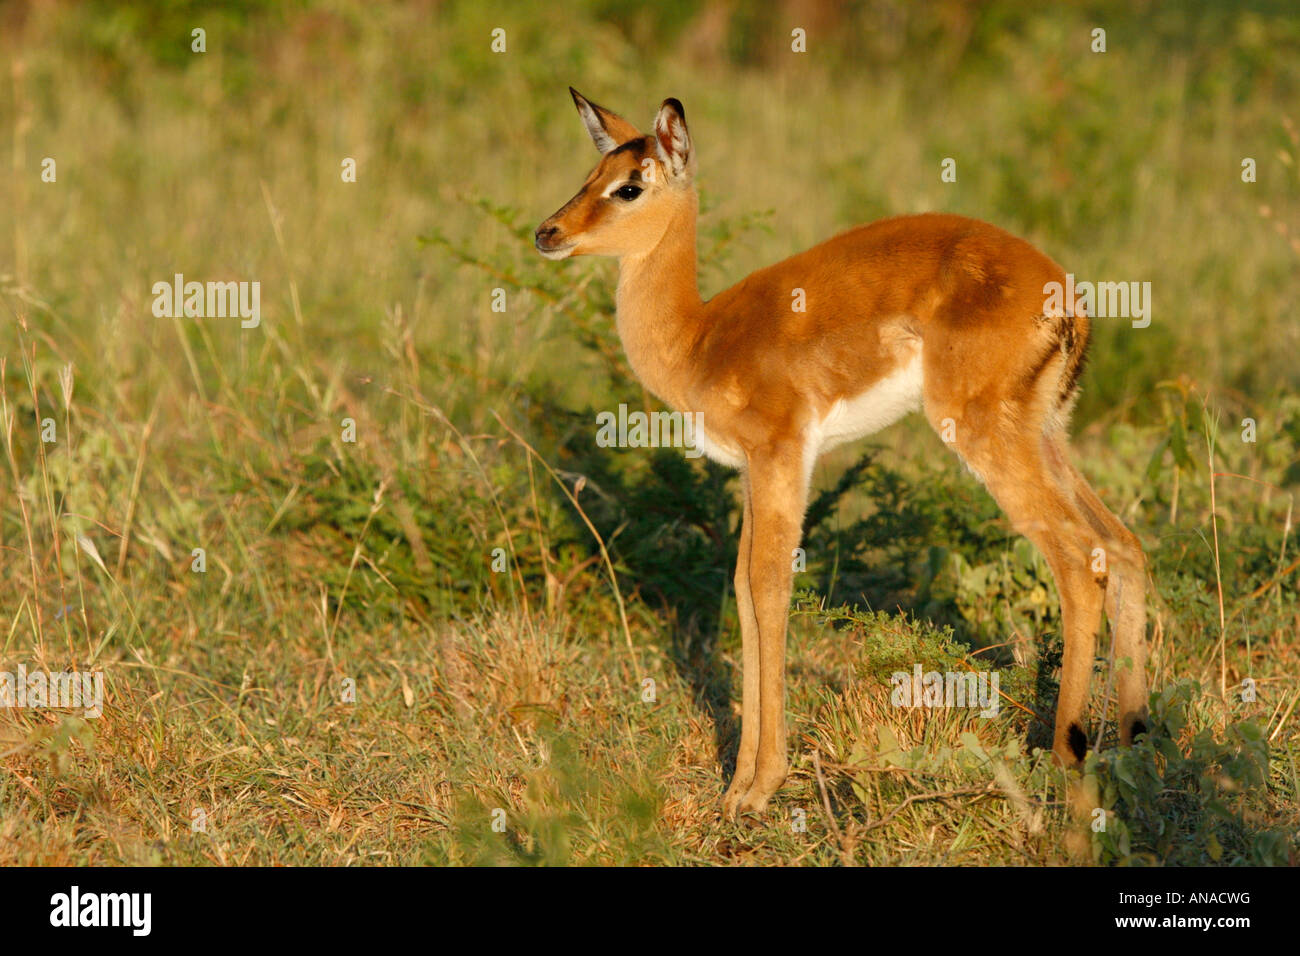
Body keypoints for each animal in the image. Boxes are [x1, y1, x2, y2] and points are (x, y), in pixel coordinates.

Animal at [535, 89, 1148, 820]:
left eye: (629, 186)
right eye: (591, 173)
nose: (548, 232)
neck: (700, 337)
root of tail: (1068, 299)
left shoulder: (782, 456)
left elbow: (767, 586)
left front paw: (759, 789)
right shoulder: (754, 472)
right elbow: (741, 586)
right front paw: (735, 787)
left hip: (989, 441)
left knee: (1079, 561)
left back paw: (1064, 759)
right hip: (1046, 436)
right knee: (1123, 544)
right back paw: (1139, 745)